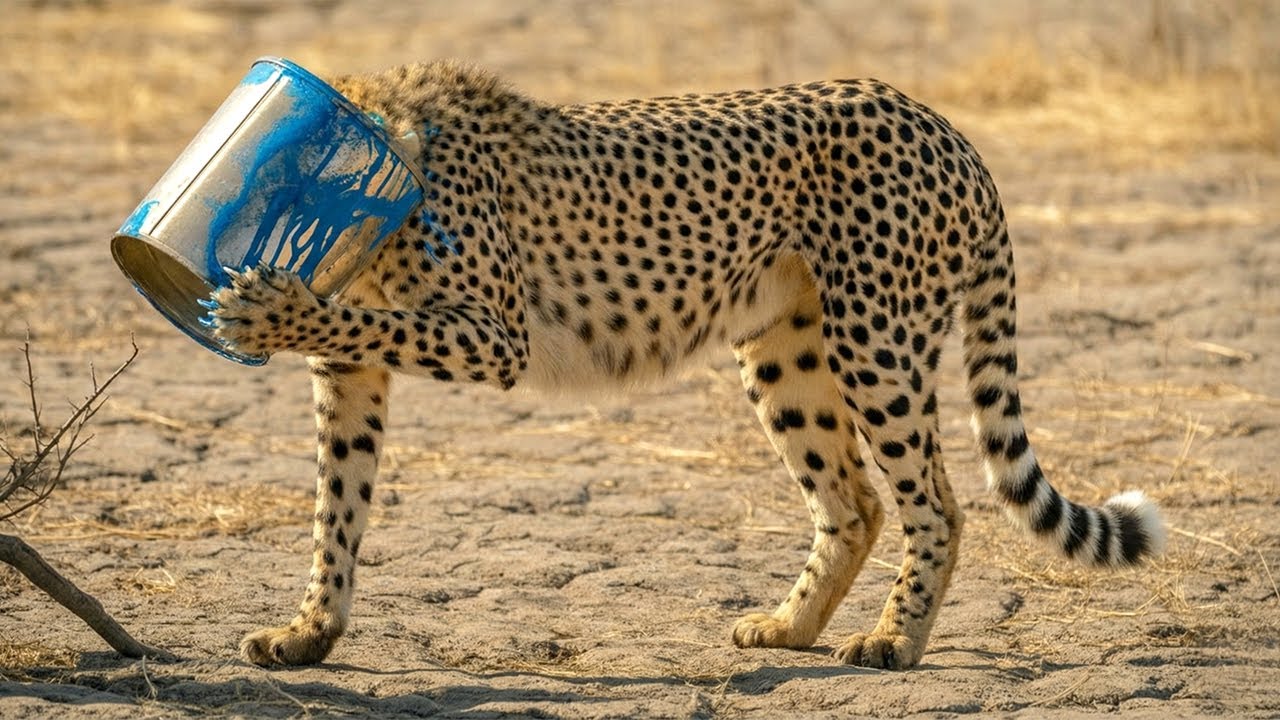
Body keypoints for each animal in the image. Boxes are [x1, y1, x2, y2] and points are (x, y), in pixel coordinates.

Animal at [208, 60, 1165, 670]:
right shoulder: (350, 369)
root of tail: (936, 120)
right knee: (852, 504)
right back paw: (791, 628)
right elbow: (338, 507)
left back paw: (895, 640)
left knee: (934, 501)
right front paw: (309, 632)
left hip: (876, 342)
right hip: (785, 352)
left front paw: (262, 306)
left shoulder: (495, 334)